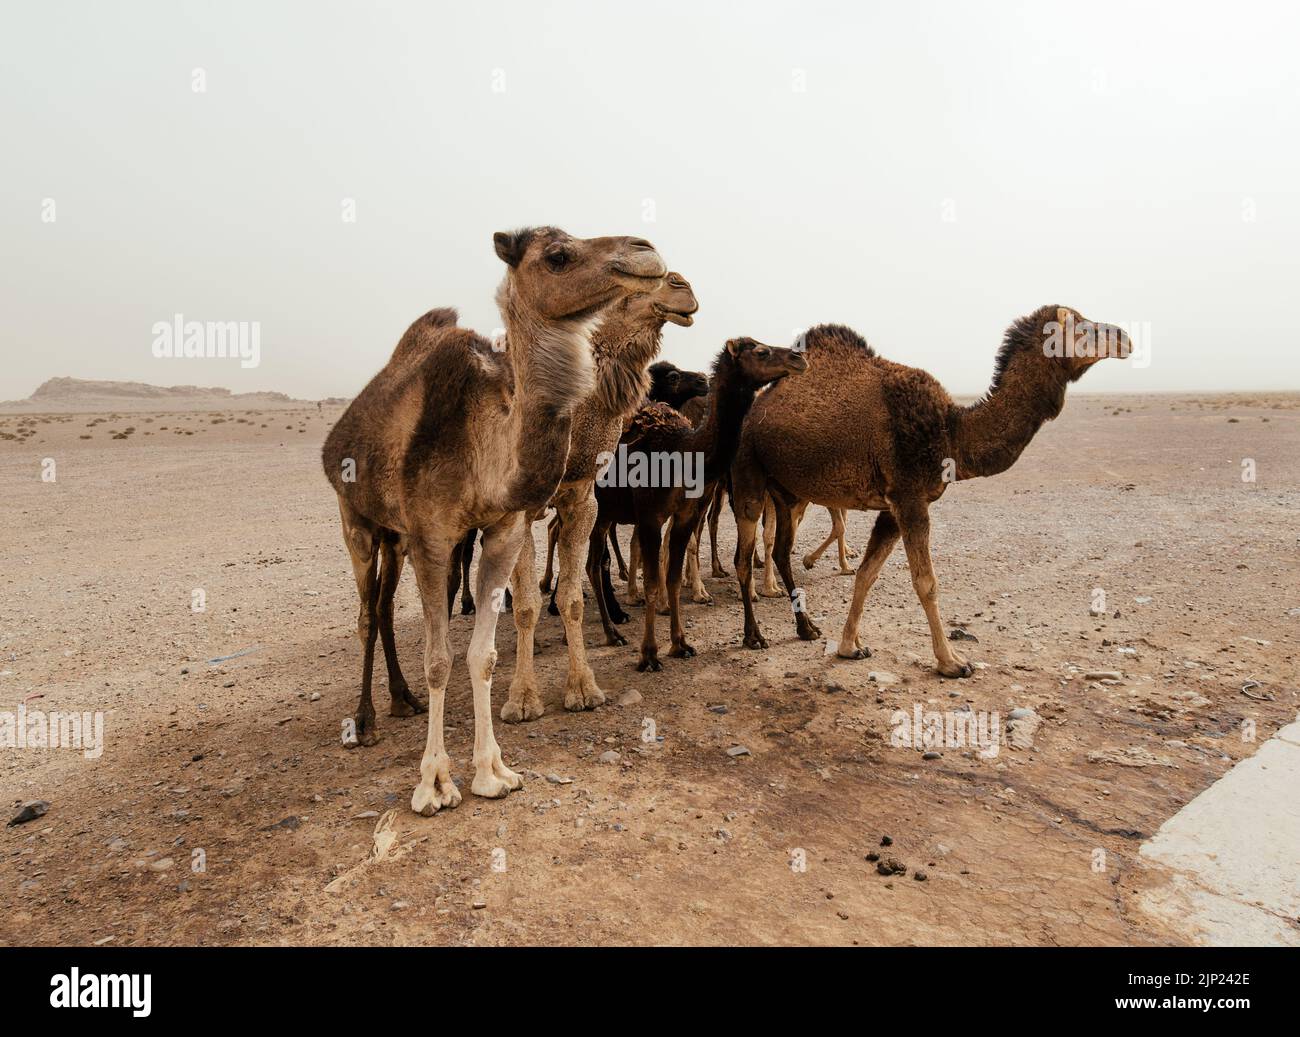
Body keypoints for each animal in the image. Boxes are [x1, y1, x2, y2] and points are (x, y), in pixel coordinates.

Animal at [322, 227, 667, 814]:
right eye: (558, 256)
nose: (647, 250)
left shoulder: (503, 528)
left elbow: (482, 654)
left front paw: (493, 771)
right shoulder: (433, 538)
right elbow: (439, 658)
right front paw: (434, 783)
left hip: (396, 537)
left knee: (384, 609)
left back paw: (402, 699)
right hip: (358, 521)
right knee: (367, 613)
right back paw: (365, 721)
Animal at [500, 274, 699, 723]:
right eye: (629, 287)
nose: (683, 287)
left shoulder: (583, 496)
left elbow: (573, 596)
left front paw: (584, 688)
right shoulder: (520, 509)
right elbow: (526, 607)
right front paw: (522, 699)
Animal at [590, 338, 808, 669]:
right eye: (761, 352)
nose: (799, 357)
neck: (682, 452)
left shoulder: (685, 514)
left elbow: (673, 577)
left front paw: (680, 643)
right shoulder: (650, 515)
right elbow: (653, 581)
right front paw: (649, 654)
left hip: (604, 513)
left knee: (593, 561)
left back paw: (612, 626)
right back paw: (609, 627)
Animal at [730, 306, 1130, 676]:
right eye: (1083, 327)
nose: (1126, 338)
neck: (951, 431)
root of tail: (757, 408)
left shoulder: (893, 506)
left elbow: (867, 573)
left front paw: (849, 646)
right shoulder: (910, 497)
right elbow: (926, 582)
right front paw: (951, 662)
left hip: (788, 491)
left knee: (781, 549)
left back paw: (805, 626)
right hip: (748, 468)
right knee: (746, 553)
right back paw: (754, 634)